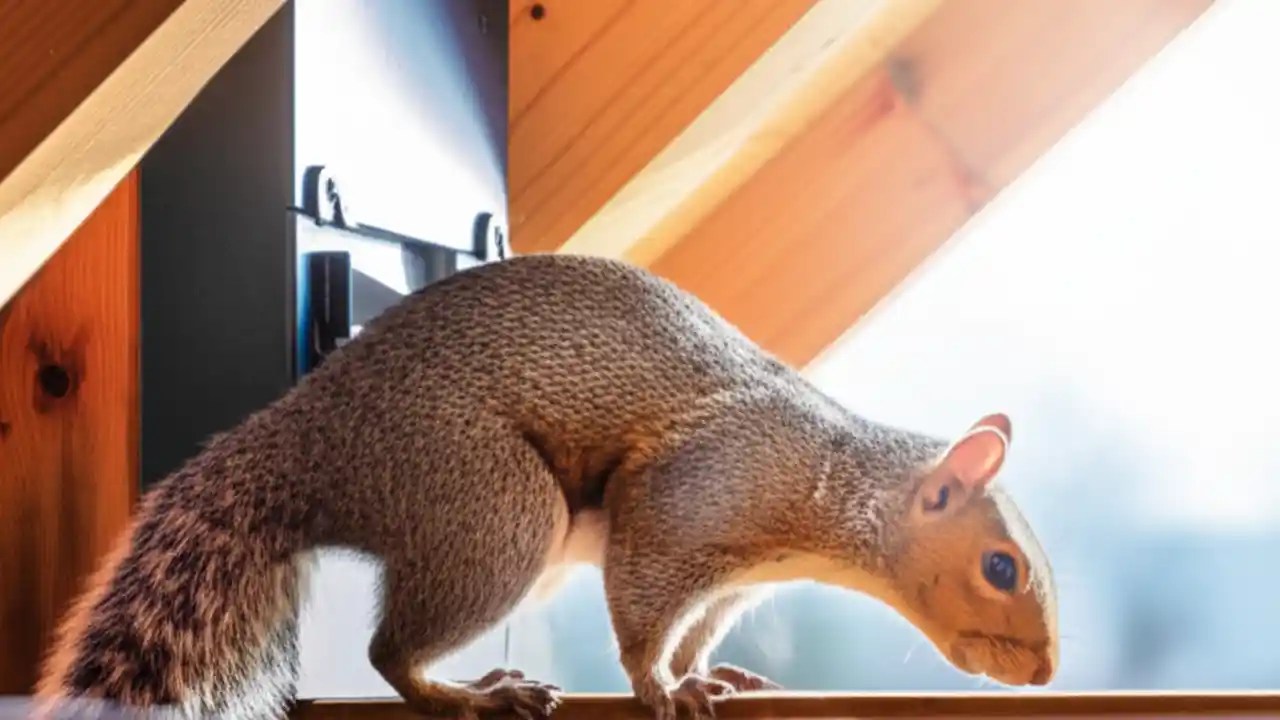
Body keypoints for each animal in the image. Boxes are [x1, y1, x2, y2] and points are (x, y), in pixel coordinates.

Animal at [35, 253, 1058, 720]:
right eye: (1001, 567)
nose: (1045, 672)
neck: (826, 480)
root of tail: (311, 443)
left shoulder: (732, 583)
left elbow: (696, 628)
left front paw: (711, 672)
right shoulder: (684, 501)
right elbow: (645, 608)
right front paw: (660, 685)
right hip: (493, 509)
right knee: (387, 655)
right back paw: (469, 694)